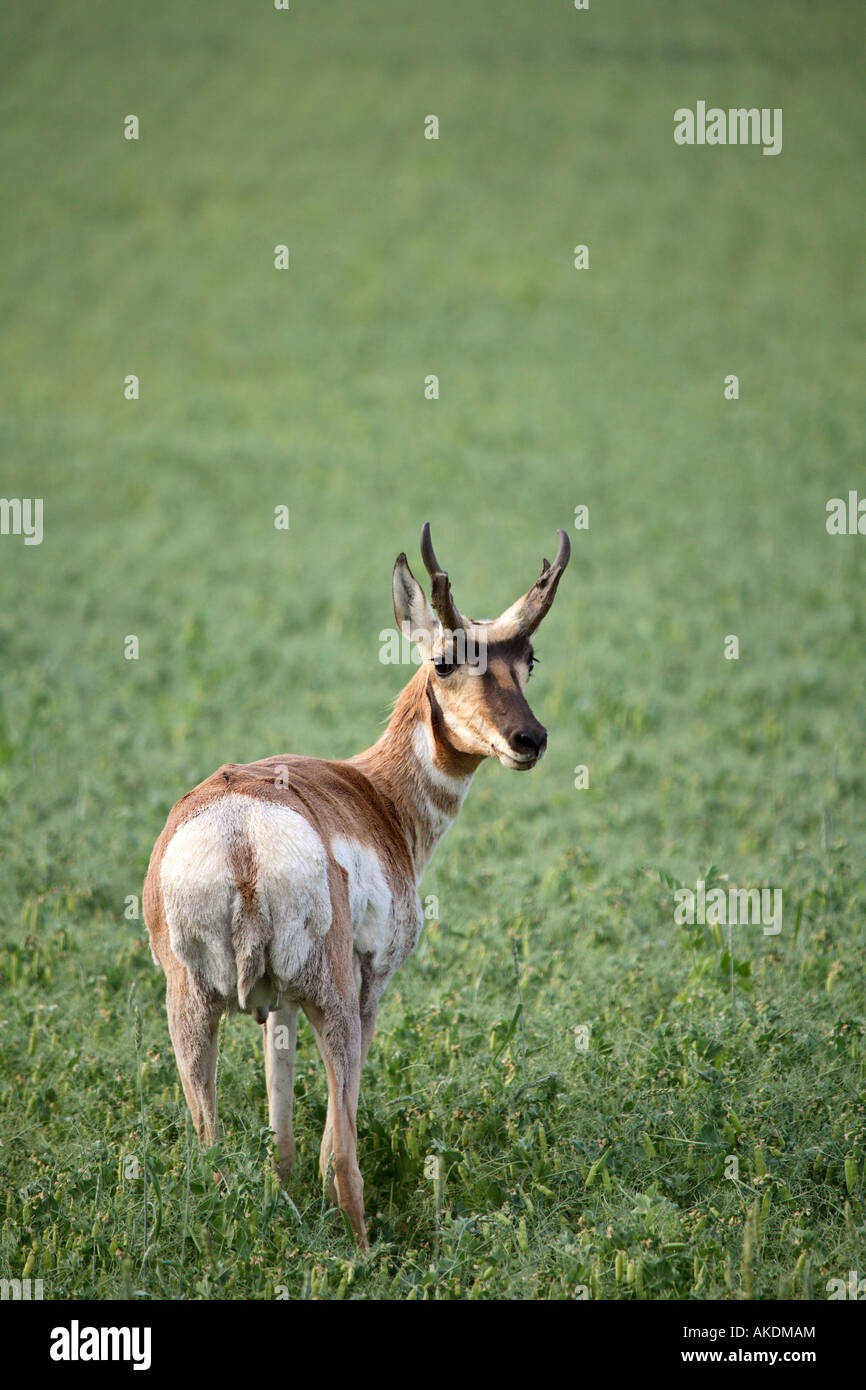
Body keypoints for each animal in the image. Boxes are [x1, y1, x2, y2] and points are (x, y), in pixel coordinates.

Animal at [142, 523, 570, 1247]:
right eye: (444, 661)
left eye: (529, 659)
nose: (529, 739)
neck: (376, 793)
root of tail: (240, 829)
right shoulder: (372, 985)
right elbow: (332, 1129)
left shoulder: (278, 1008)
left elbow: (280, 1119)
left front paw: (284, 1188)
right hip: (333, 999)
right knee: (345, 1158)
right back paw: (364, 1250)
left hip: (193, 1010)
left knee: (208, 1145)